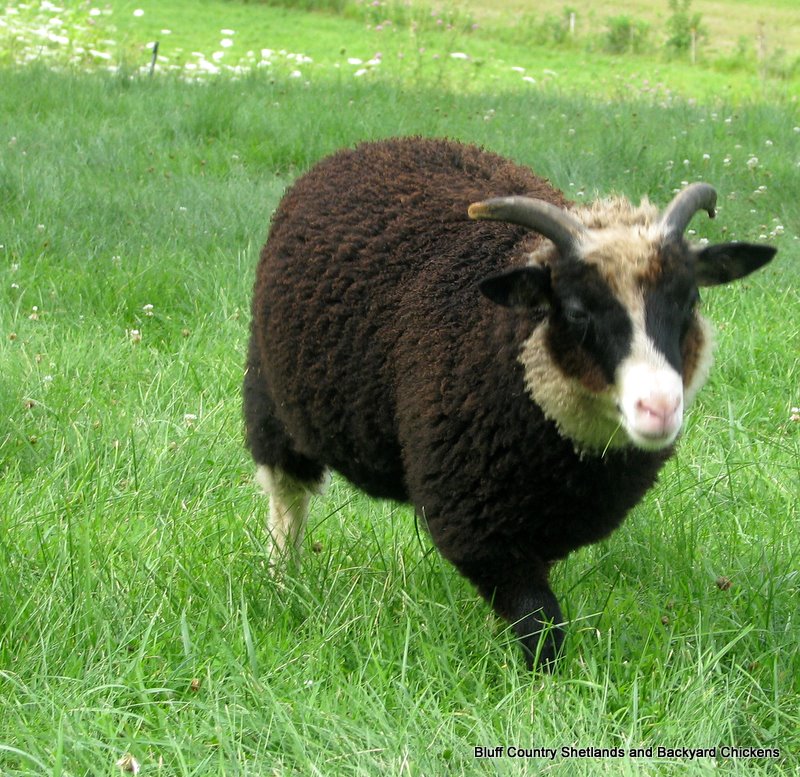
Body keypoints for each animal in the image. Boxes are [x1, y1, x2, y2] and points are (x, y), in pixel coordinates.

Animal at [243, 136, 776, 668]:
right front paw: (549, 684)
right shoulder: (479, 525)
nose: (660, 408)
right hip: (270, 395)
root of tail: (380, 143)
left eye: (690, 302)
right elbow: (540, 624)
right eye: (576, 312)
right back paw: (282, 581)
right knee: (286, 496)